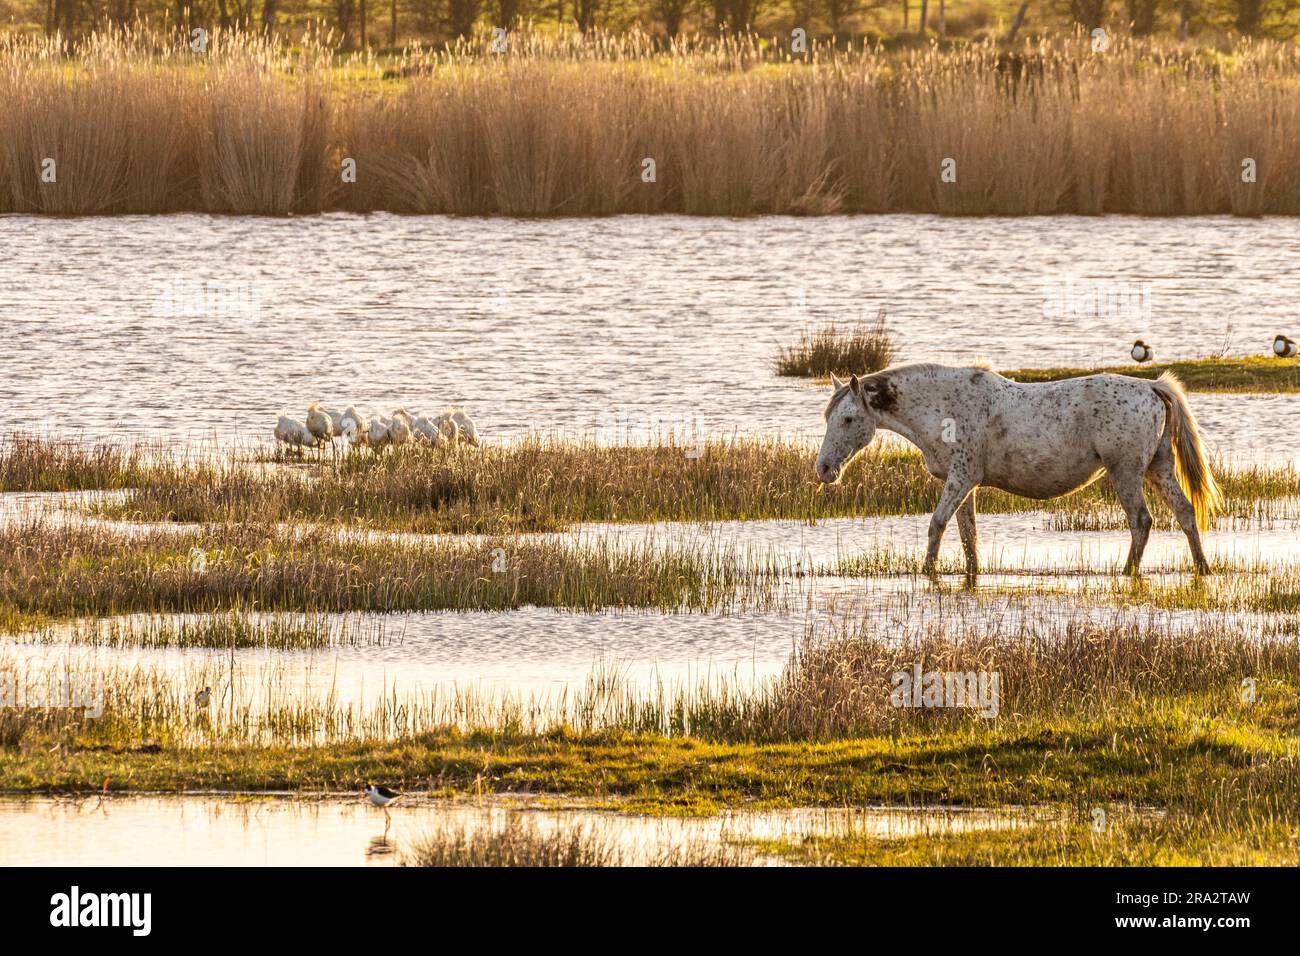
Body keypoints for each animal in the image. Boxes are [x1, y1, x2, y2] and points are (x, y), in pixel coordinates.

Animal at [814, 364, 1221, 577]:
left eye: (848, 418)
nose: (824, 468)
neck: (943, 407)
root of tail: (1152, 387)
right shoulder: (966, 485)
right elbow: (968, 536)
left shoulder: (961, 479)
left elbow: (936, 525)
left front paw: (927, 572)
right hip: (1158, 469)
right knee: (1185, 513)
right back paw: (1202, 567)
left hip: (1126, 473)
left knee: (1141, 521)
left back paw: (1126, 572)